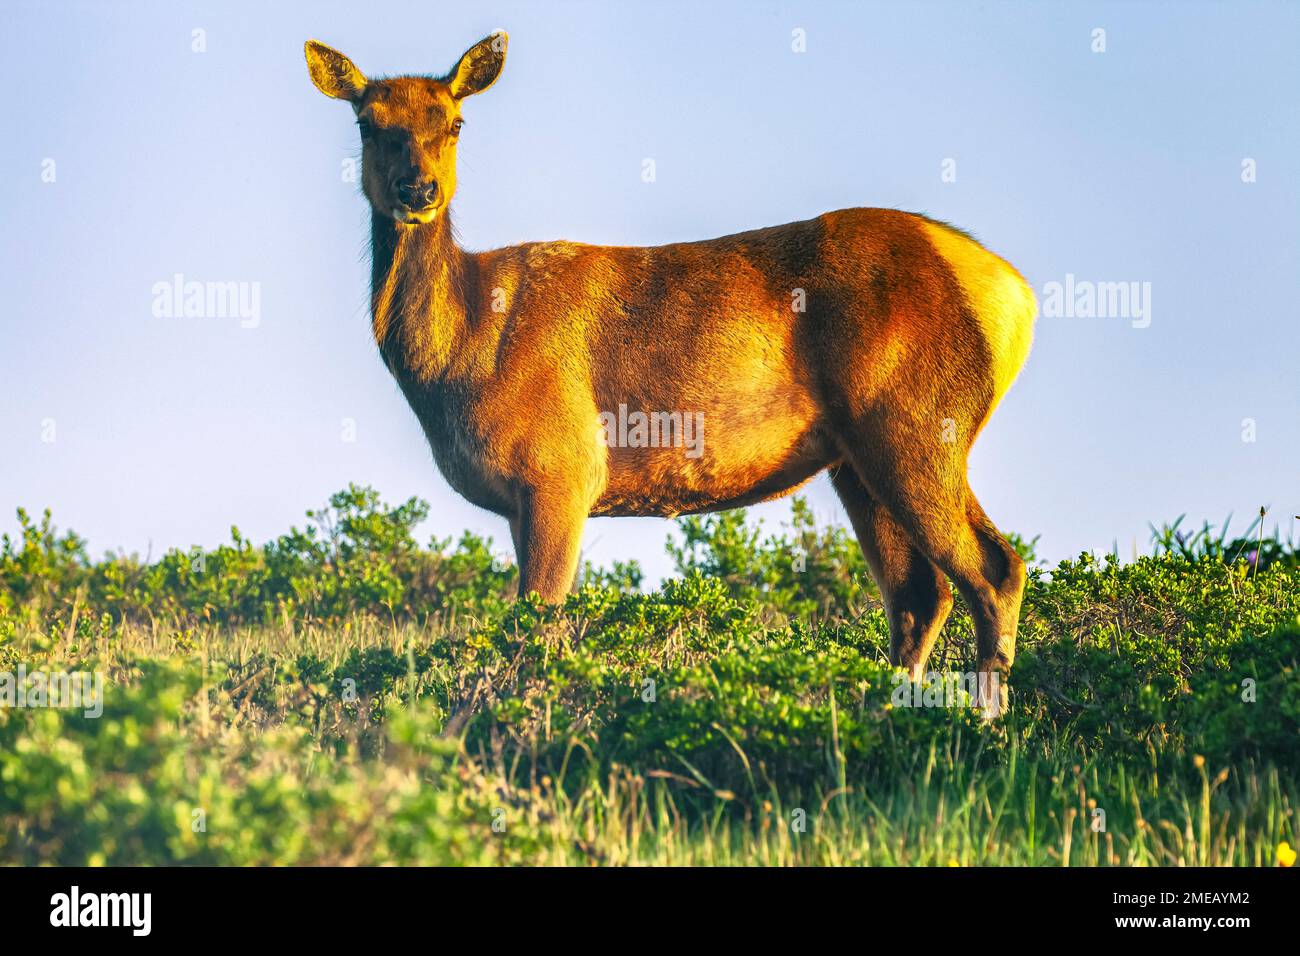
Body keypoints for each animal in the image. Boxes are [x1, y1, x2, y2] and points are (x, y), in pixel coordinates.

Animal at [305, 33, 1037, 717]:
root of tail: (1014, 295)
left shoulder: (560, 470)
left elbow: (535, 633)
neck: (462, 354)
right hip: (858, 457)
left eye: (455, 121)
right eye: (368, 121)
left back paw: (984, 725)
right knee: (920, 594)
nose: (418, 191)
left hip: (917, 422)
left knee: (995, 568)